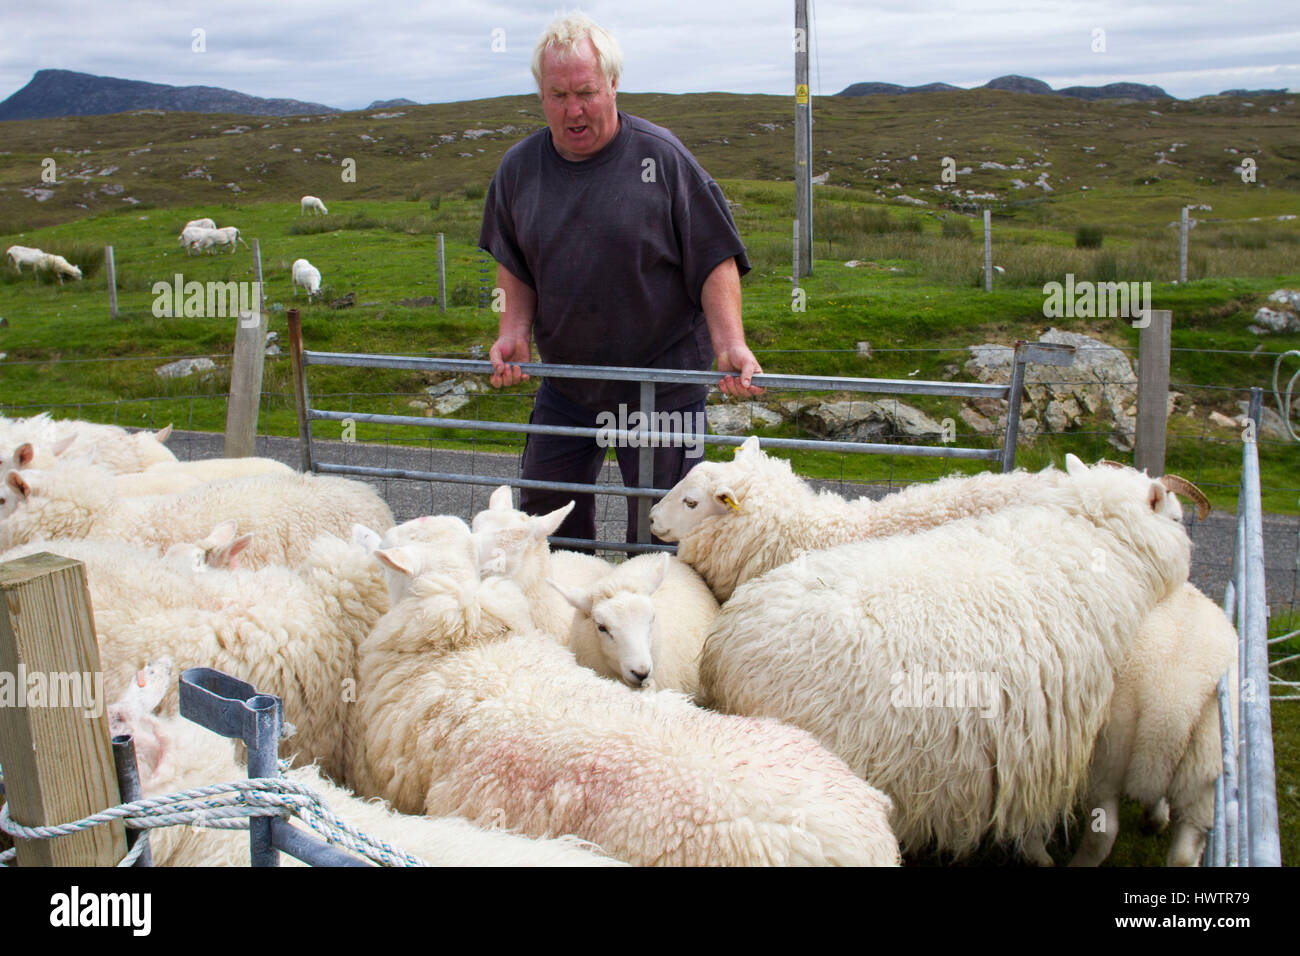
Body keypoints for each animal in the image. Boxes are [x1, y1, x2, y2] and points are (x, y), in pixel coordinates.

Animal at [1069, 583, 1238, 867]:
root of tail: (1173, 699)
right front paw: (1156, 818)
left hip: (1107, 760)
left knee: (1102, 833)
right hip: (1204, 773)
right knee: (1184, 854)